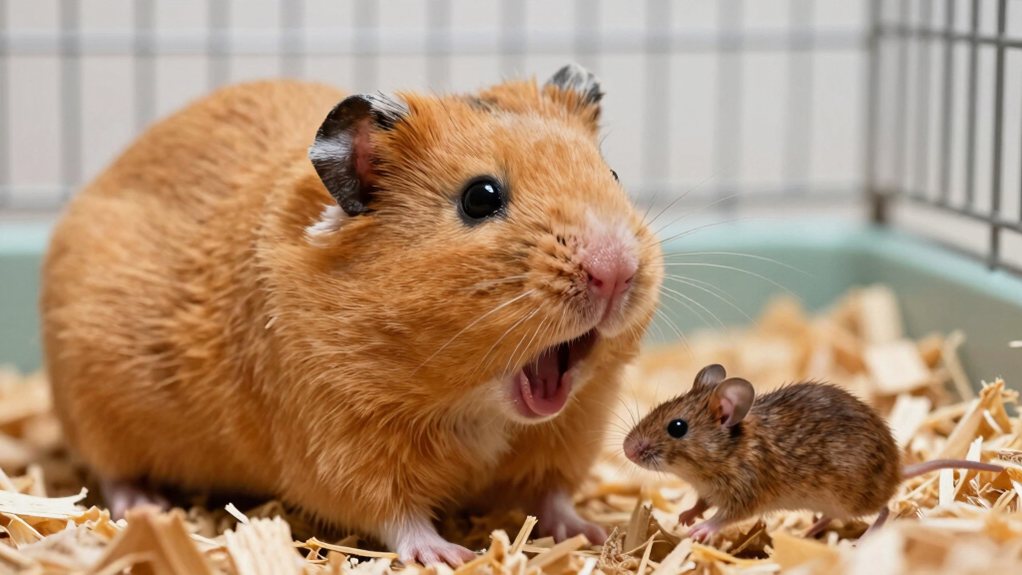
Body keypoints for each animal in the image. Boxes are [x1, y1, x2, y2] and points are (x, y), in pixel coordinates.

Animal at [40, 64, 663, 565]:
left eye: (611, 177)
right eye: (480, 198)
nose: (616, 269)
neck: (475, 404)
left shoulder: (570, 430)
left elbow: (552, 495)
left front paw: (591, 533)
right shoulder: (339, 444)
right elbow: (395, 514)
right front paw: (449, 555)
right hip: (93, 406)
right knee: (111, 471)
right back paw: (142, 506)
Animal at [623, 364, 1005, 541]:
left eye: (677, 427)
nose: (626, 449)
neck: (729, 451)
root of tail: (899, 473)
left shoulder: (744, 495)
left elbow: (721, 517)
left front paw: (700, 531)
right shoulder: (706, 491)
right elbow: (700, 503)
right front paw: (686, 517)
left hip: (852, 499)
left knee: (885, 510)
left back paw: (863, 539)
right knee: (832, 517)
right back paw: (808, 532)